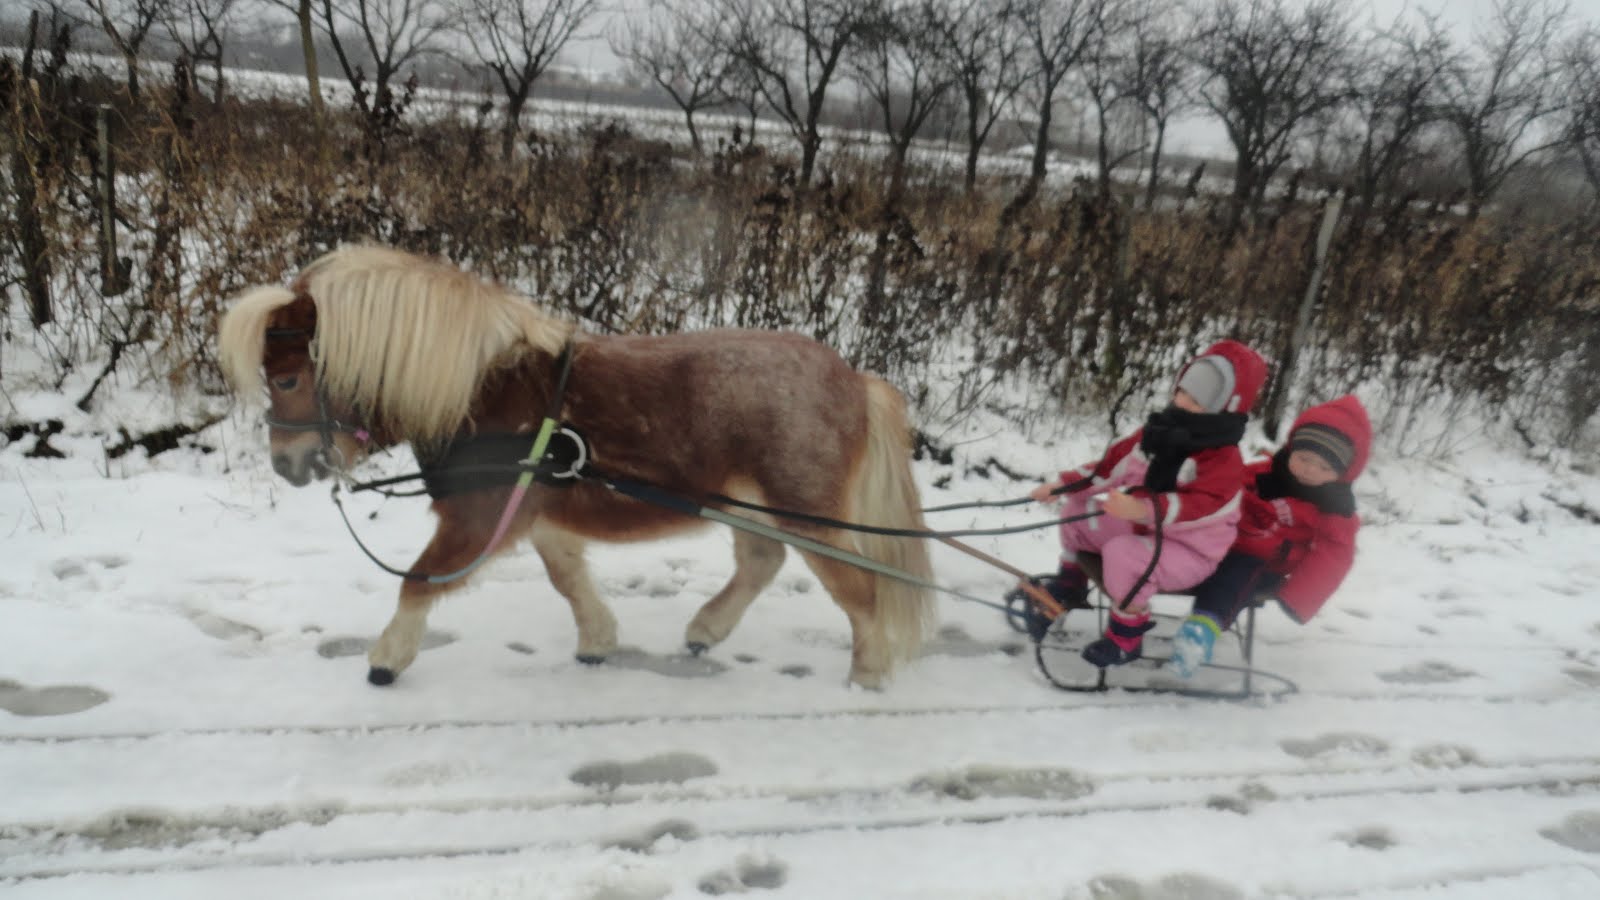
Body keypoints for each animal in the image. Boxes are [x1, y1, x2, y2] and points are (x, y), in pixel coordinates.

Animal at [216, 241, 934, 682]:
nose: (287, 464)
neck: (485, 393)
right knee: (762, 562)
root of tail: (854, 379)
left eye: (286, 379)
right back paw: (707, 628)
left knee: (860, 590)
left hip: (808, 512)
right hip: (749, 503)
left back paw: (867, 675)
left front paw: (387, 659)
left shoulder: (478, 521)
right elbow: (566, 578)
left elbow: (417, 582)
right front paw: (598, 639)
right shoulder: (534, 516)